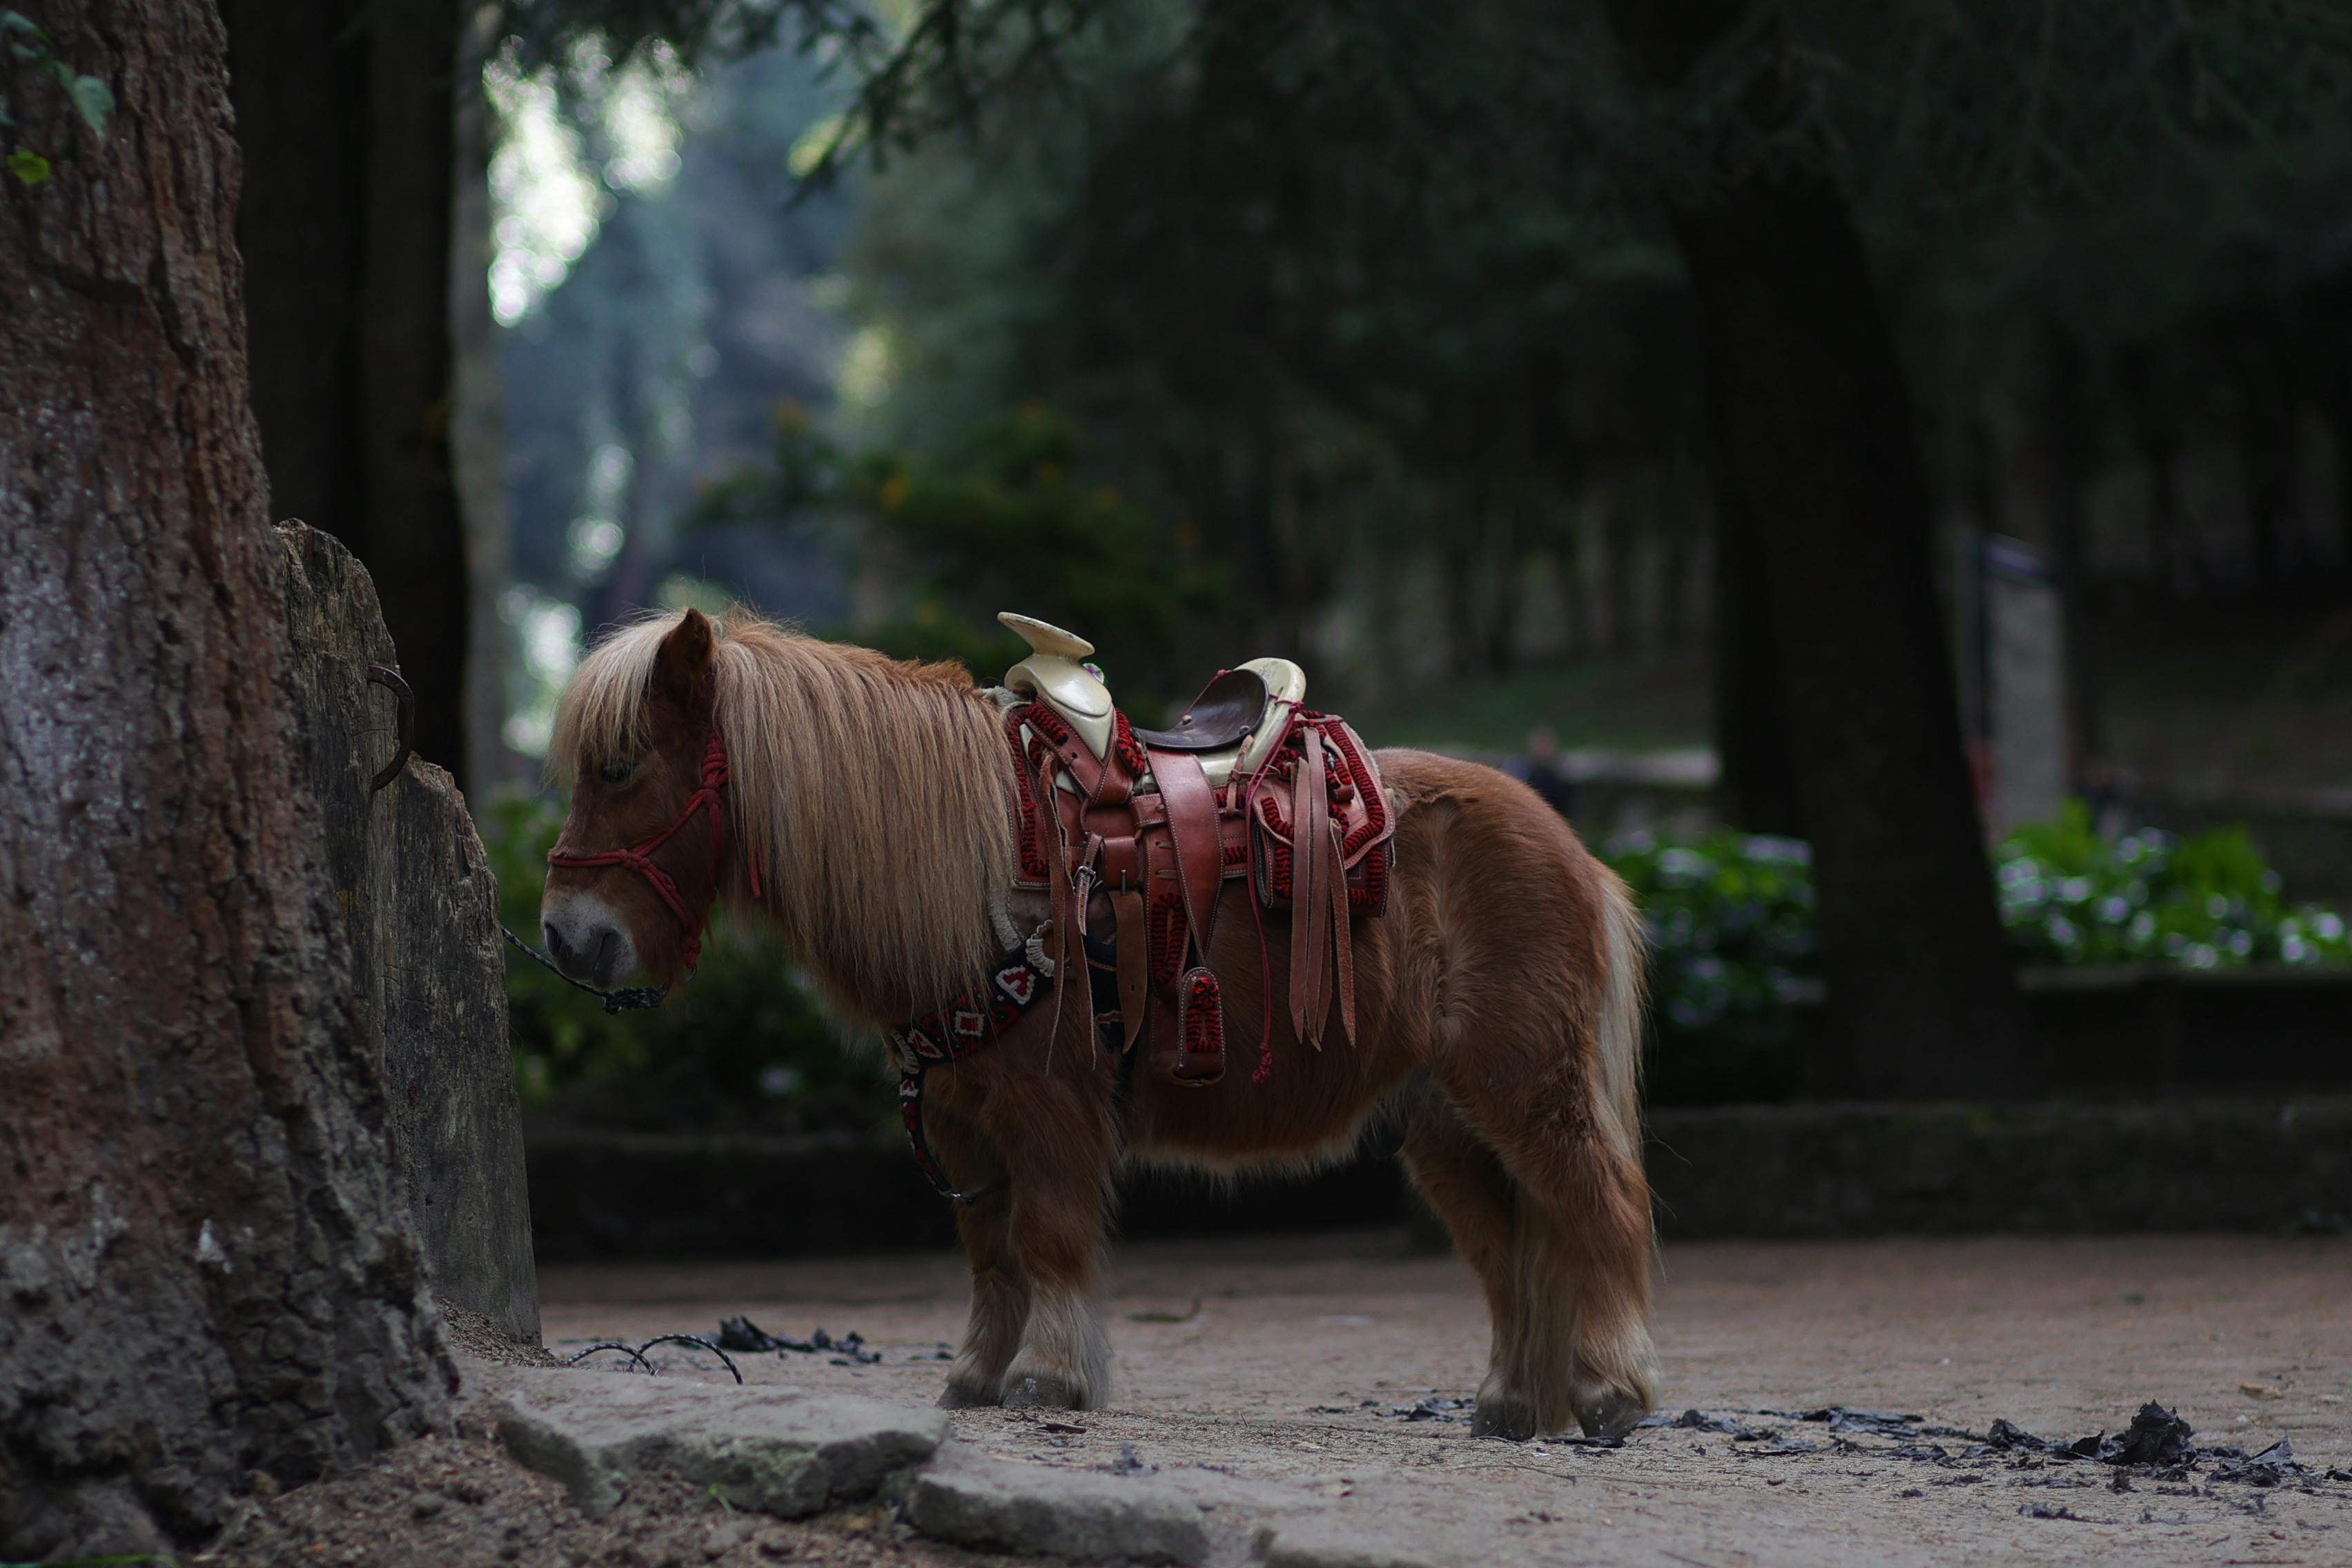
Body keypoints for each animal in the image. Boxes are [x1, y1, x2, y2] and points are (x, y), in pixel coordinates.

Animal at [536, 606, 1660, 1439]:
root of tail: (1574, 848)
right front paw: (976, 1377)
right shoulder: (961, 1116)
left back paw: (1609, 1388)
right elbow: (991, 1255)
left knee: (1598, 1203)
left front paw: (1048, 1375)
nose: (564, 938)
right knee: (1508, 1245)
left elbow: (1049, 1238)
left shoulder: (1048, 1107)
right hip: (1445, 1122)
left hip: (1527, 1083)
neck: (986, 860)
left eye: (622, 766)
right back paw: (1512, 1401)